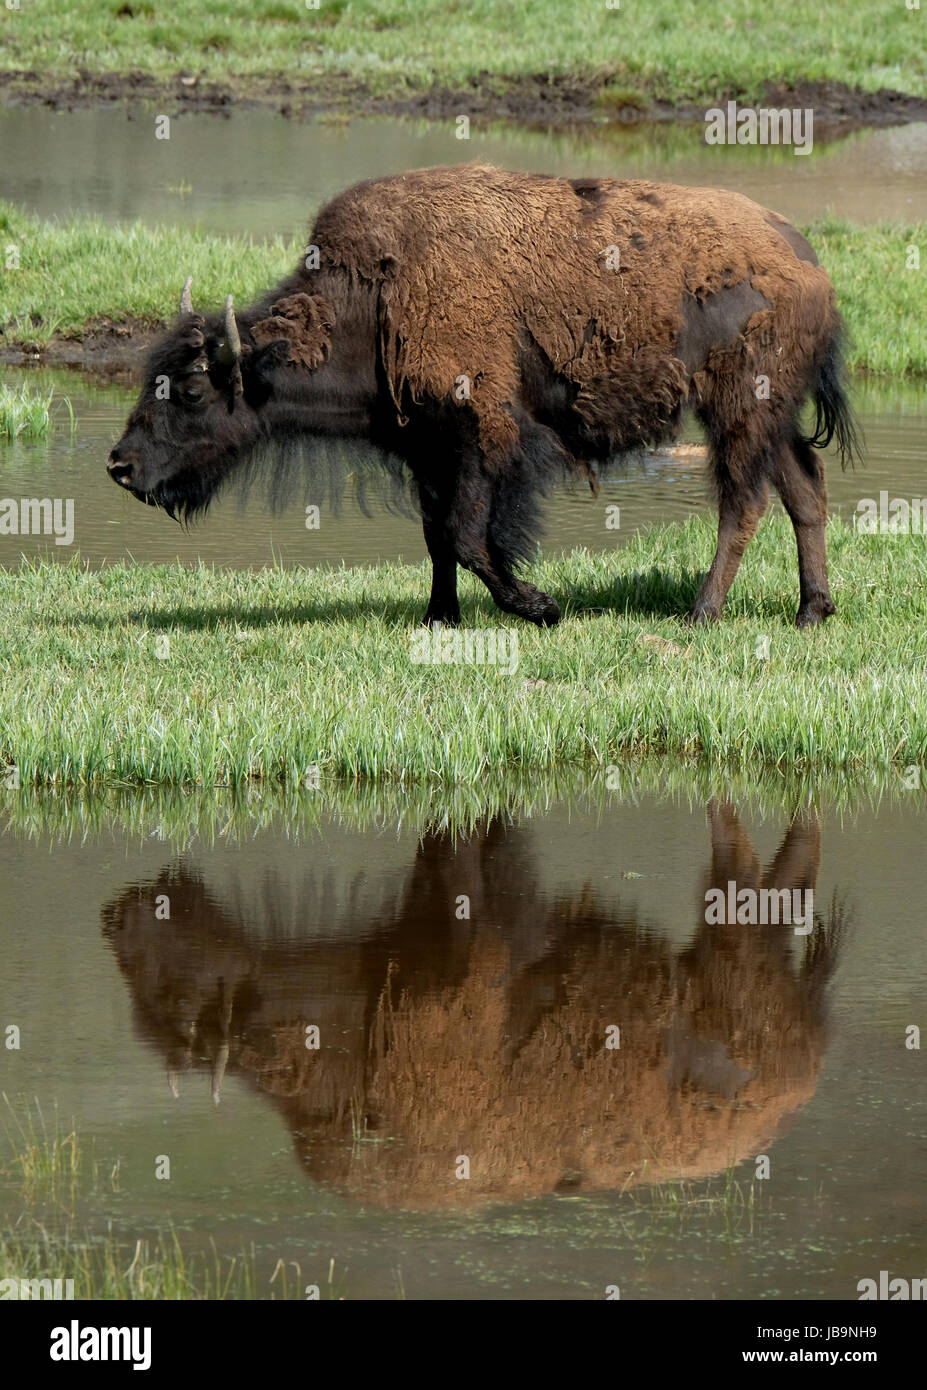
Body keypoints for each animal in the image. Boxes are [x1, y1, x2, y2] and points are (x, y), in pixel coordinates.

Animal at [108, 163, 859, 626]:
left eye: (192, 390)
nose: (120, 465)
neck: (375, 303)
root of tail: (804, 259)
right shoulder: (426, 450)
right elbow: (437, 535)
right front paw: (439, 617)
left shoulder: (481, 434)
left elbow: (470, 536)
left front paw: (539, 606)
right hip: (772, 414)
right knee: (804, 487)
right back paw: (810, 611)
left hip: (737, 407)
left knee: (743, 499)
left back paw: (702, 612)